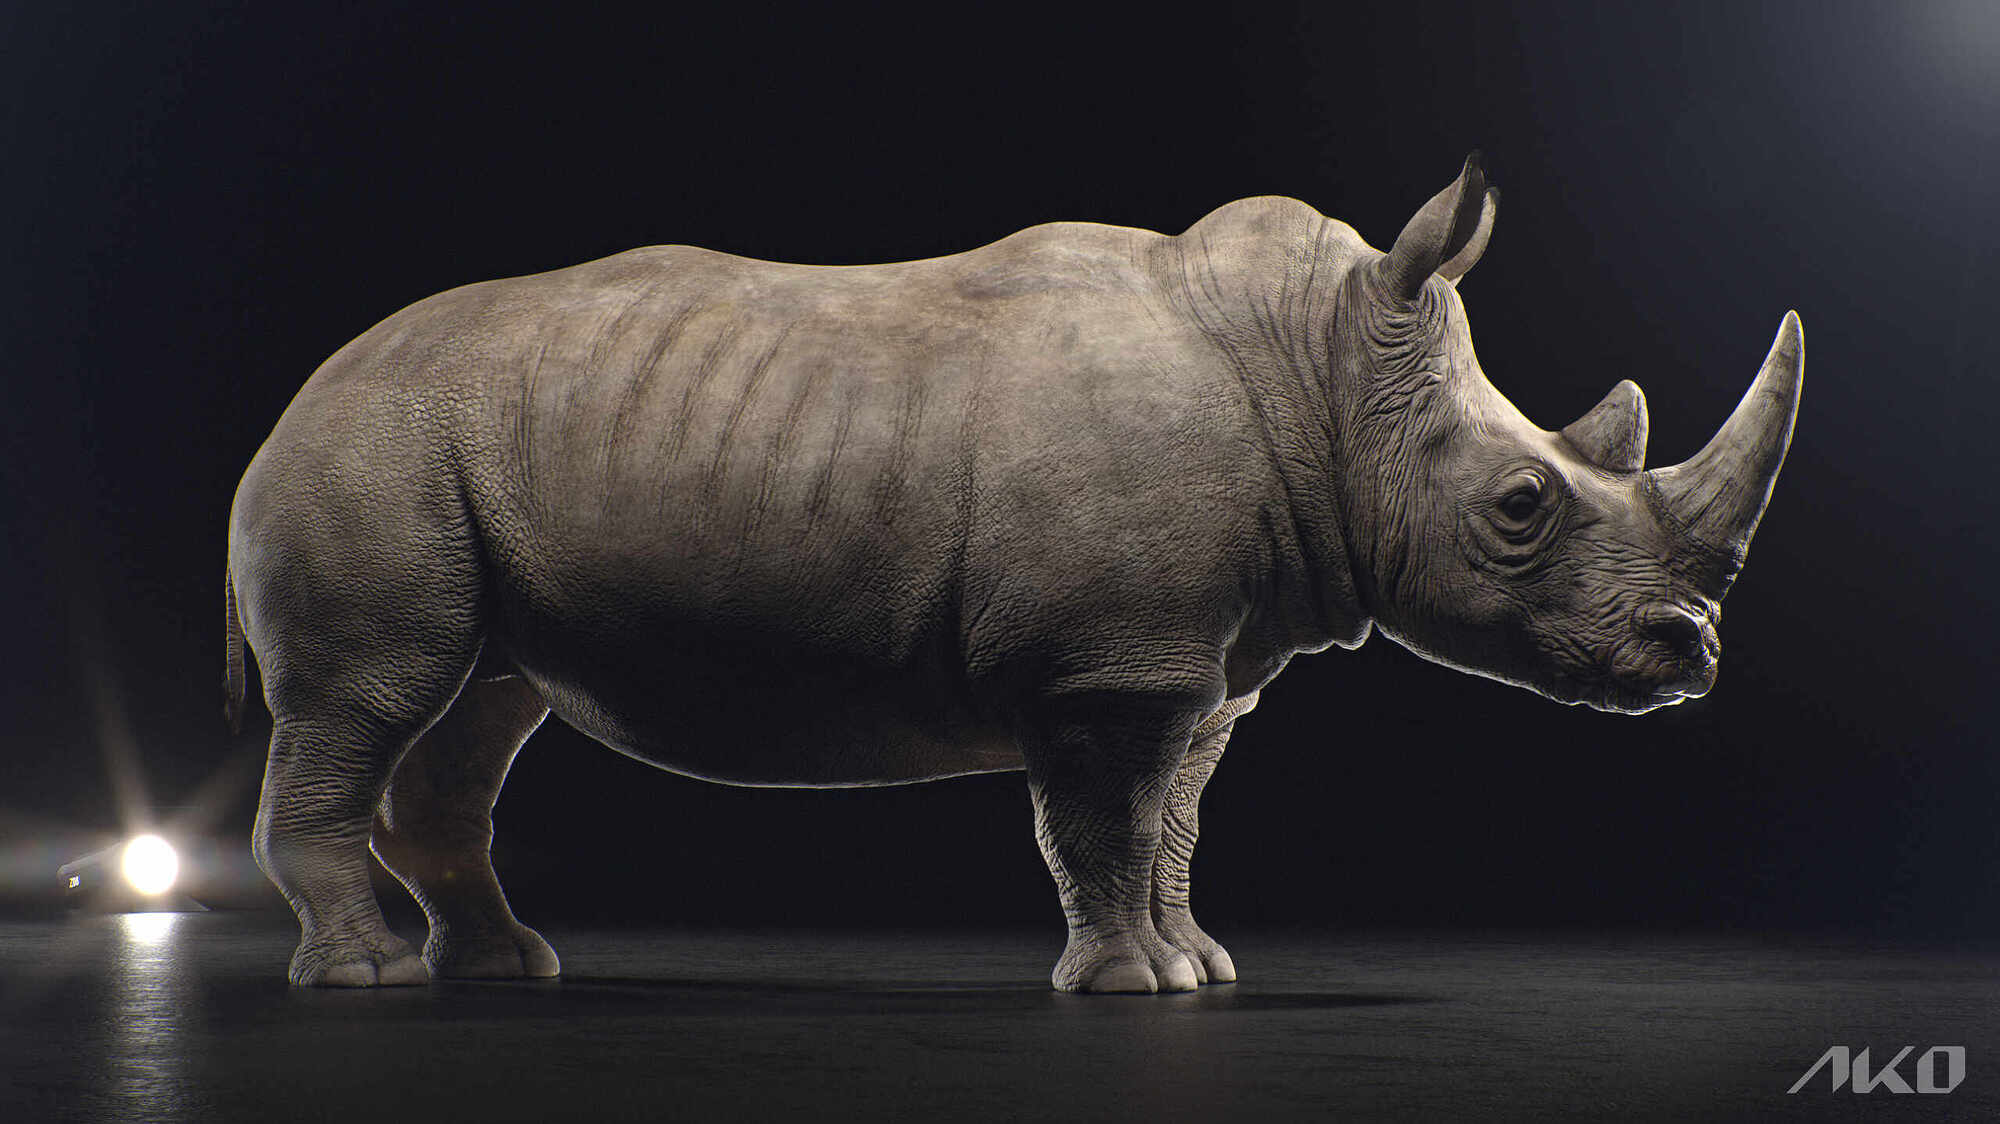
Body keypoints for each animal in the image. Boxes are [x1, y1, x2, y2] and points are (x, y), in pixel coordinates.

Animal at [224, 154, 1801, 991]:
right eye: (1522, 504)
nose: (1691, 649)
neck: (1325, 377)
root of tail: (291, 403)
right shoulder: (1107, 661)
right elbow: (1103, 823)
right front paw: (1127, 985)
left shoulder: (1200, 661)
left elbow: (1175, 825)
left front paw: (1197, 970)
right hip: (375, 449)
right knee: (374, 695)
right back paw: (368, 977)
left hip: (455, 456)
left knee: (481, 703)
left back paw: (507, 966)